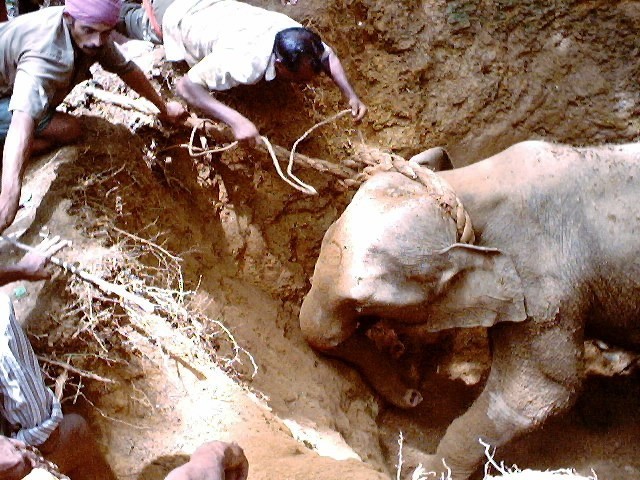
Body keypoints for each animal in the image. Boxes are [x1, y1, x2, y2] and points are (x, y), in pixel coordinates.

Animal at [299, 140, 640, 478]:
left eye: (362, 304)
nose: (413, 395)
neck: (474, 183)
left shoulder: (540, 278)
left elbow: (538, 392)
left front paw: (419, 468)